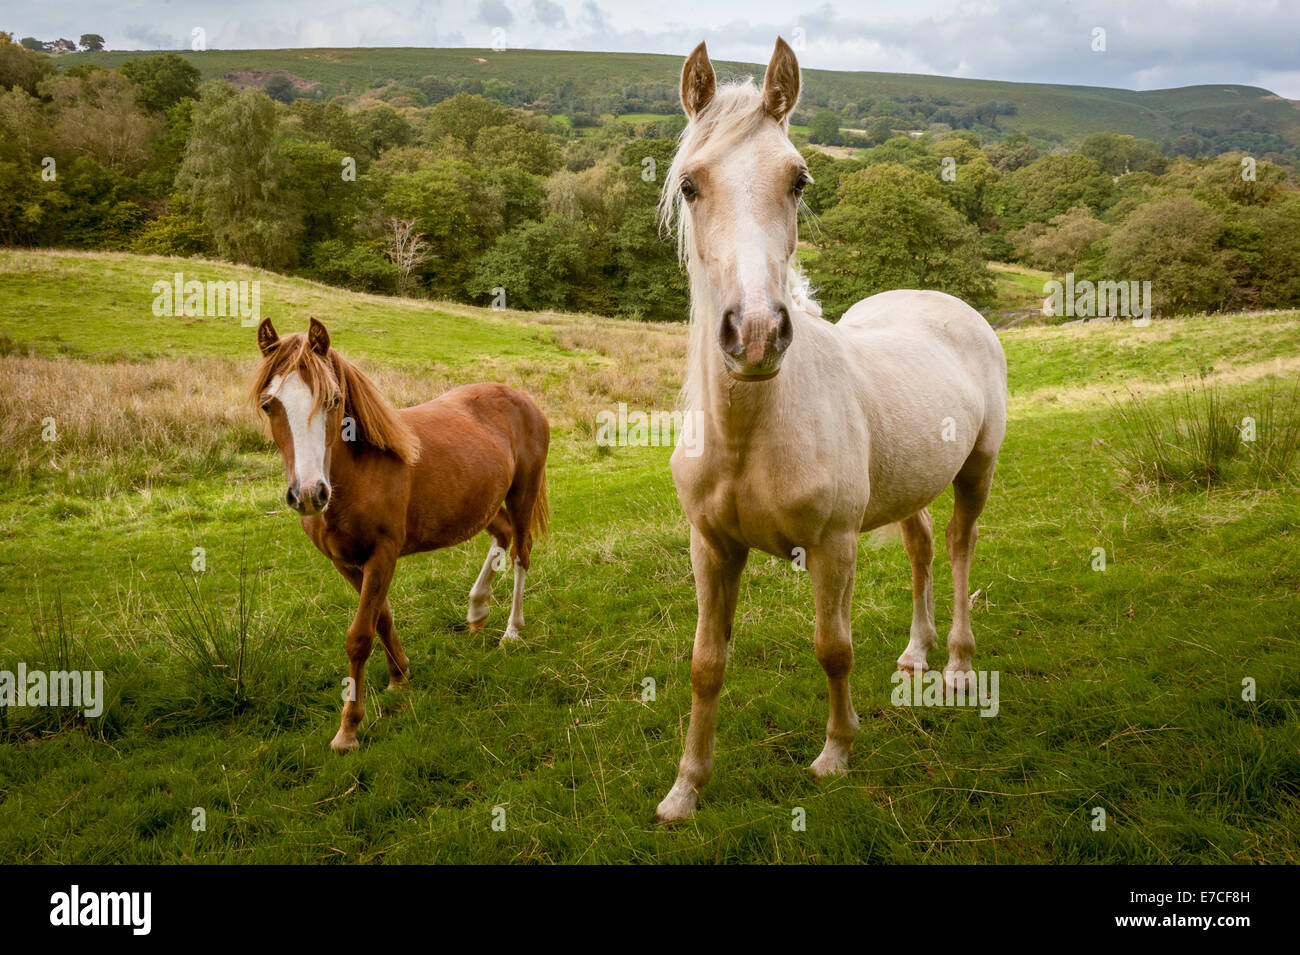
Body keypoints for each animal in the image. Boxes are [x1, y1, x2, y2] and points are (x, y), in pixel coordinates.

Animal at [250, 317, 550, 752]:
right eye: (268, 404)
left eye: (334, 400)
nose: (308, 494)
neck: (359, 472)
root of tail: (521, 397)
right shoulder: (346, 563)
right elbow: (381, 618)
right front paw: (400, 678)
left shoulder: (383, 554)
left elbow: (360, 635)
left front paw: (349, 729)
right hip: (482, 504)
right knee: (504, 536)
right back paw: (477, 608)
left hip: (523, 492)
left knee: (521, 553)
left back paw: (512, 630)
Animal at [653, 39, 1008, 821]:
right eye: (690, 185)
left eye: (798, 179)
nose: (756, 334)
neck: (753, 432)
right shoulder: (711, 547)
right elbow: (705, 663)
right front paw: (686, 789)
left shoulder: (832, 545)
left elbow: (833, 648)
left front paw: (837, 753)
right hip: (909, 486)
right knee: (923, 546)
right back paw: (916, 653)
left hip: (976, 471)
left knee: (960, 549)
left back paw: (958, 665)